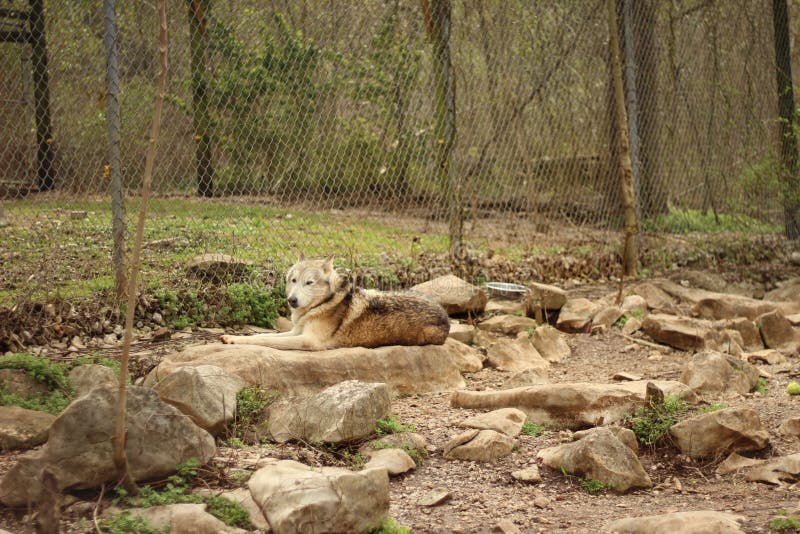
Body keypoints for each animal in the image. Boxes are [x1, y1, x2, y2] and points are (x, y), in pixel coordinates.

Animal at [220, 255, 450, 350]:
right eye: (293, 280)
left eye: (309, 282)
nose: (292, 300)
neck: (322, 304)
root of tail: (446, 316)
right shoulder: (295, 332)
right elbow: (260, 335)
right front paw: (231, 337)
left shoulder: (307, 341)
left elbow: (267, 341)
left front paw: (234, 341)